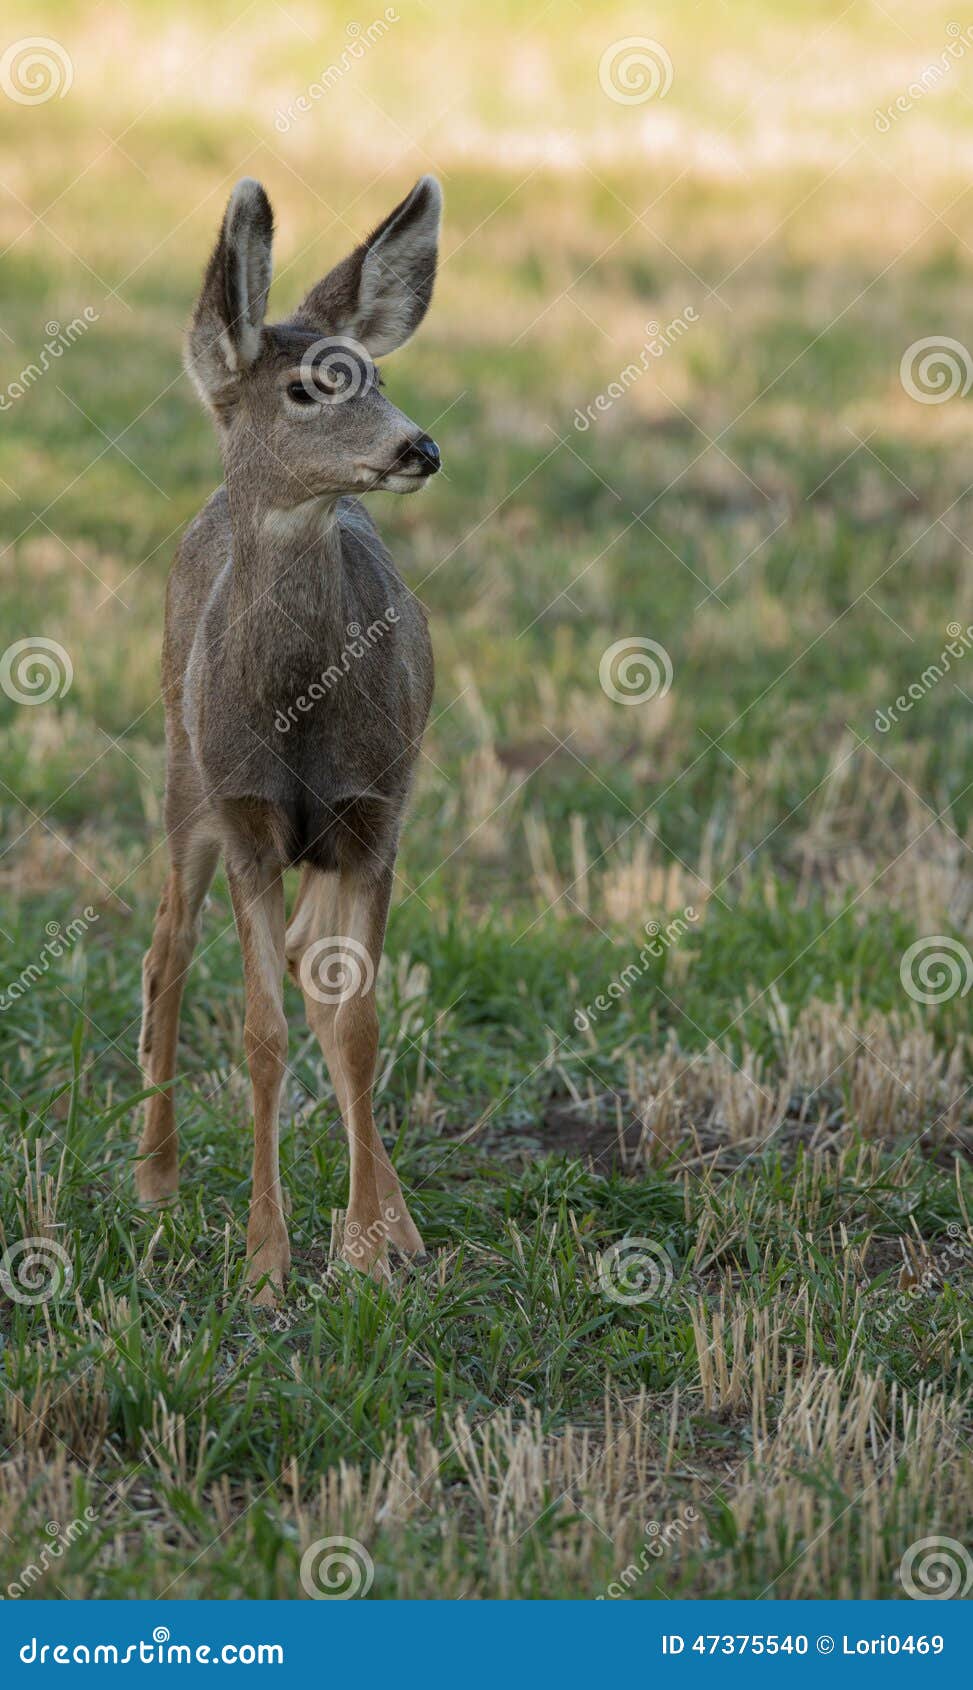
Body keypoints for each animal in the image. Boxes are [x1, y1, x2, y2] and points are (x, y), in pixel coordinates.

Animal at [136, 175, 443, 1305]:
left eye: (377, 372)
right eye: (308, 390)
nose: (417, 446)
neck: (300, 712)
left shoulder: (377, 814)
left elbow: (354, 1023)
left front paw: (366, 1247)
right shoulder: (250, 820)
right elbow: (262, 1031)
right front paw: (266, 1262)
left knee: (316, 970)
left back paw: (395, 1217)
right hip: (182, 770)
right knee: (167, 946)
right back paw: (156, 1175)